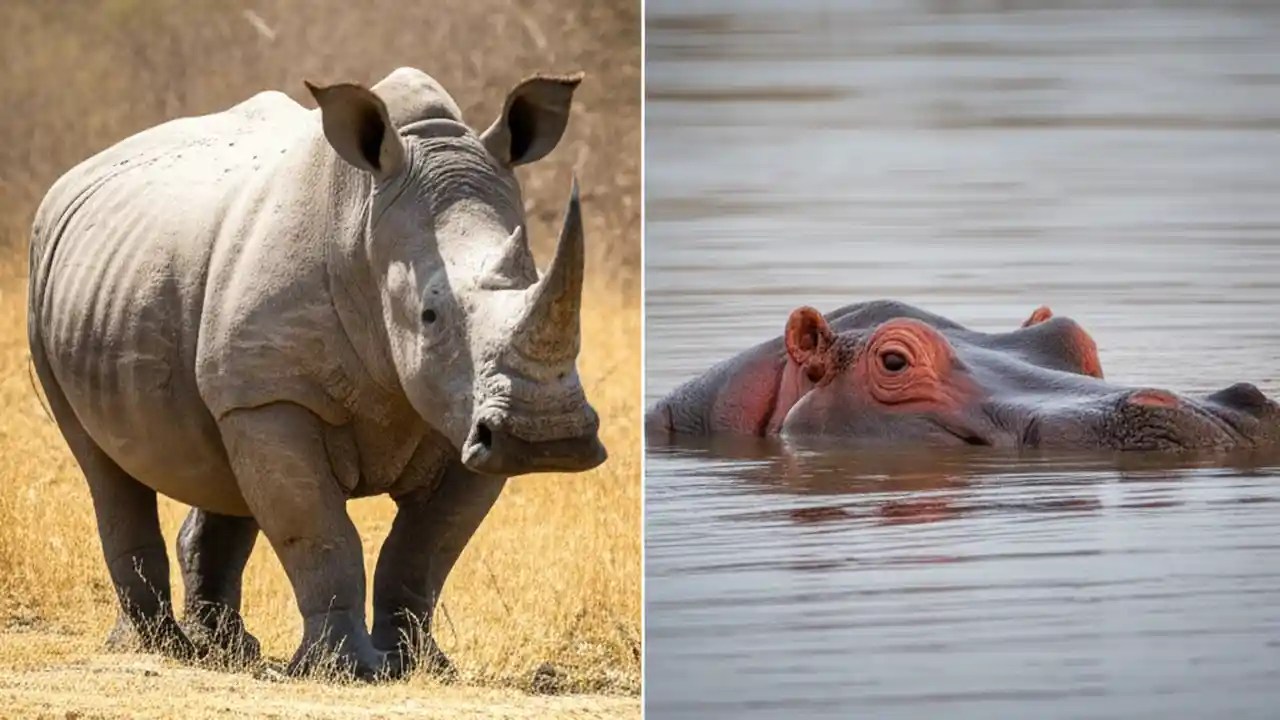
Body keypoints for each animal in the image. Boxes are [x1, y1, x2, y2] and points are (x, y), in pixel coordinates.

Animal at [28, 67, 606, 680]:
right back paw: (160, 649)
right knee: (103, 466)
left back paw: (228, 650)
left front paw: (419, 665)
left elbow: (426, 549)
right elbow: (320, 533)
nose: (548, 440)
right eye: (428, 315)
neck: (368, 225)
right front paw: (346, 670)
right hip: (50, 283)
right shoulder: (277, 397)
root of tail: (75, 175)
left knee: (225, 463)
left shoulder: (465, 413)